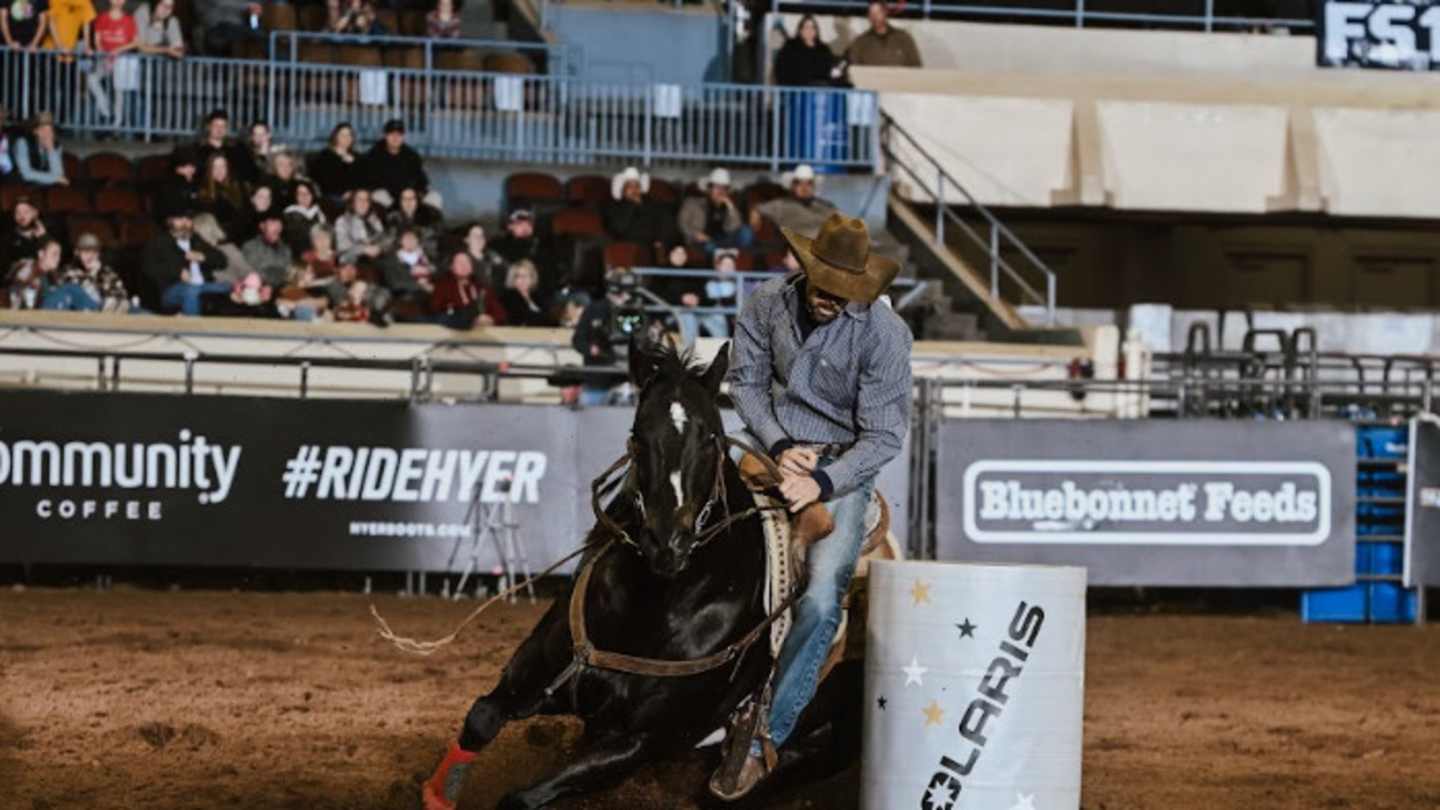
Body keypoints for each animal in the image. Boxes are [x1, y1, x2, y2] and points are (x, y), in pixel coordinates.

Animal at [420, 338, 865, 810]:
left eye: (711, 437)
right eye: (638, 435)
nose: (667, 541)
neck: (654, 603)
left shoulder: (640, 740)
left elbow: (520, 798)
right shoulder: (539, 674)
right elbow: (482, 716)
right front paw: (437, 794)